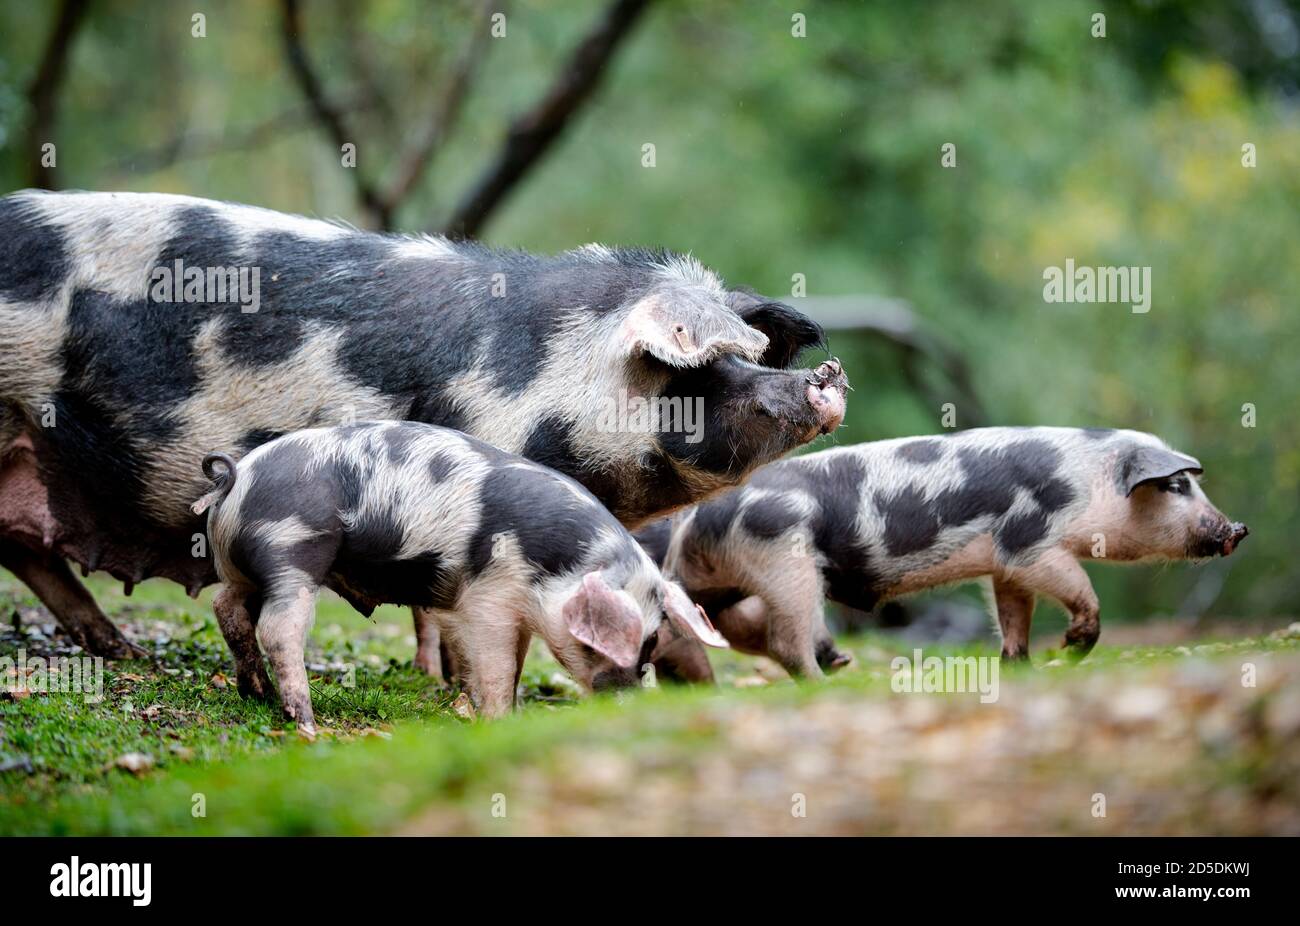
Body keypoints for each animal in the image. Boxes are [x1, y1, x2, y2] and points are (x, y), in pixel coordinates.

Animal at [195, 421, 730, 734]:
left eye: (652, 642)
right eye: (601, 642)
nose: (624, 704)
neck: (561, 567)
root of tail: (235, 476)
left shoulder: (516, 611)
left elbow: (513, 664)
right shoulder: (488, 599)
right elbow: (495, 665)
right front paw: (496, 719)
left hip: (246, 565)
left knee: (226, 607)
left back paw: (256, 693)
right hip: (293, 550)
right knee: (278, 628)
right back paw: (305, 722)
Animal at [642, 427, 1248, 679]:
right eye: (1177, 486)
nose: (1238, 528)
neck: (1085, 481)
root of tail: (695, 519)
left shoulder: (1004, 564)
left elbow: (1012, 612)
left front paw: (1019, 664)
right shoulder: (1030, 540)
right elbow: (1077, 587)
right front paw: (1072, 647)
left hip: (725, 589)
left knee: (747, 634)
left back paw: (837, 661)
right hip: (782, 561)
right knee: (786, 642)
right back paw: (826, 677)